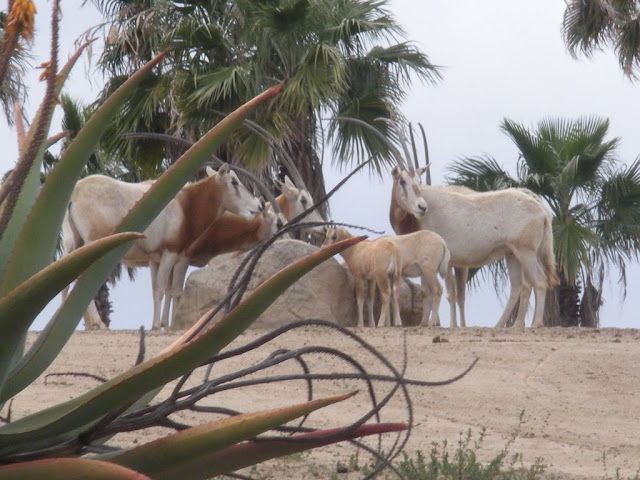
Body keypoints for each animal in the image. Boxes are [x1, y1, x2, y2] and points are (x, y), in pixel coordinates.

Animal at [61, 165, 263, 330]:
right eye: (234, 181)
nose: (259, 206)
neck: (185, 204)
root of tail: (75, 193)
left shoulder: (155, 259)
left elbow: (161, 289)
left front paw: (164, 324)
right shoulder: (170, 253)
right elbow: (161, 289)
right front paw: (157, 326)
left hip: (73, 245)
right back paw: (98, 324)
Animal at [389, 166, 558, 329]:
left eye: (418, 181)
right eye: (402, 181)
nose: (422, 207)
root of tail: (540, 208)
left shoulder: (443, 264)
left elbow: (449, 294)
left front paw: (452, 325)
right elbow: (428, 292)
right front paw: (425, 323)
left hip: (526, 252)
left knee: (539, 281)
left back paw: (535, 323)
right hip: (513, 254)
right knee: (518, 287)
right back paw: (505, 325)